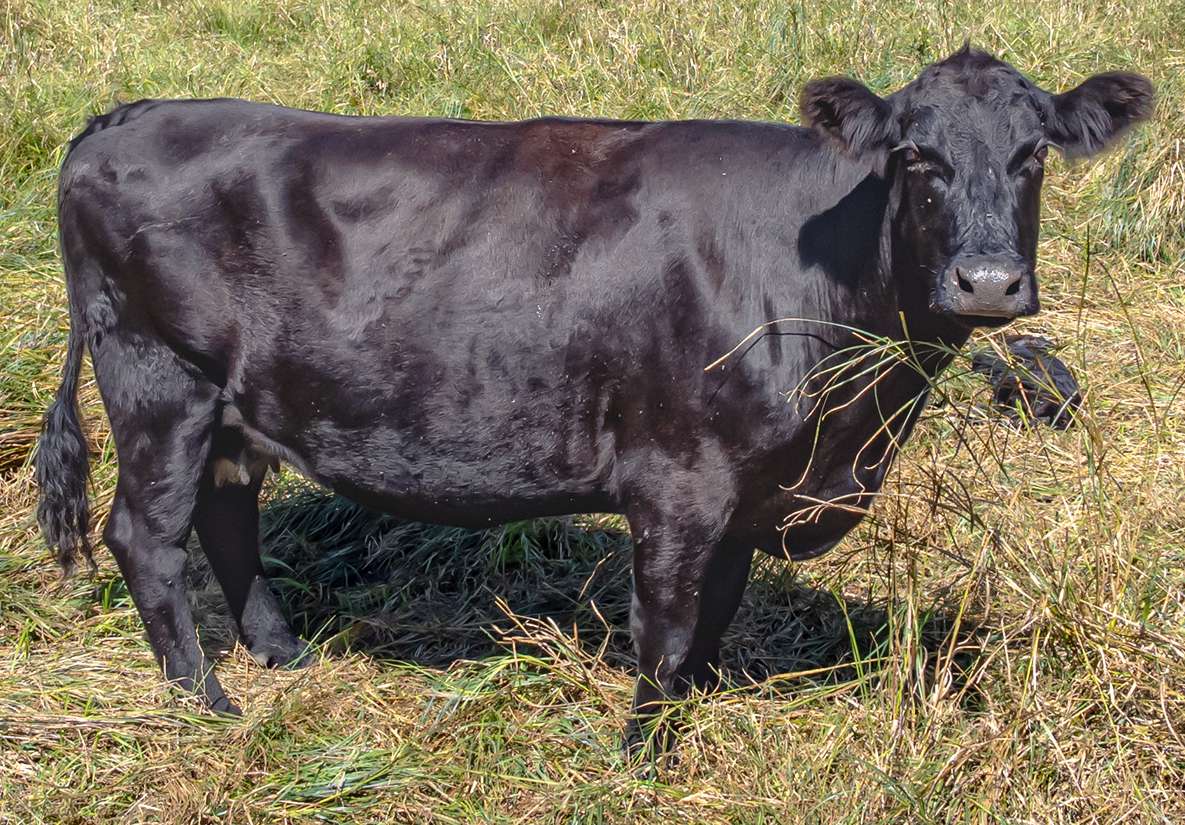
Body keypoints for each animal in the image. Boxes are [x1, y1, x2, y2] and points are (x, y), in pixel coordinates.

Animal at [35, 46, 1151, 749]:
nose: (988, 282)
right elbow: (665, 618)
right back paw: (207, 699)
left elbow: (713, 615)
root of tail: (126, 116)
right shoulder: (678, 474)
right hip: (156, 380)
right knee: (148, 536)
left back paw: (282, 654)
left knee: (227, 517)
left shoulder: (750, 486)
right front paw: (644, 750)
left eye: (1034, 155)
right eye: (916, 157)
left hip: (236, 400)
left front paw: (695, 708)